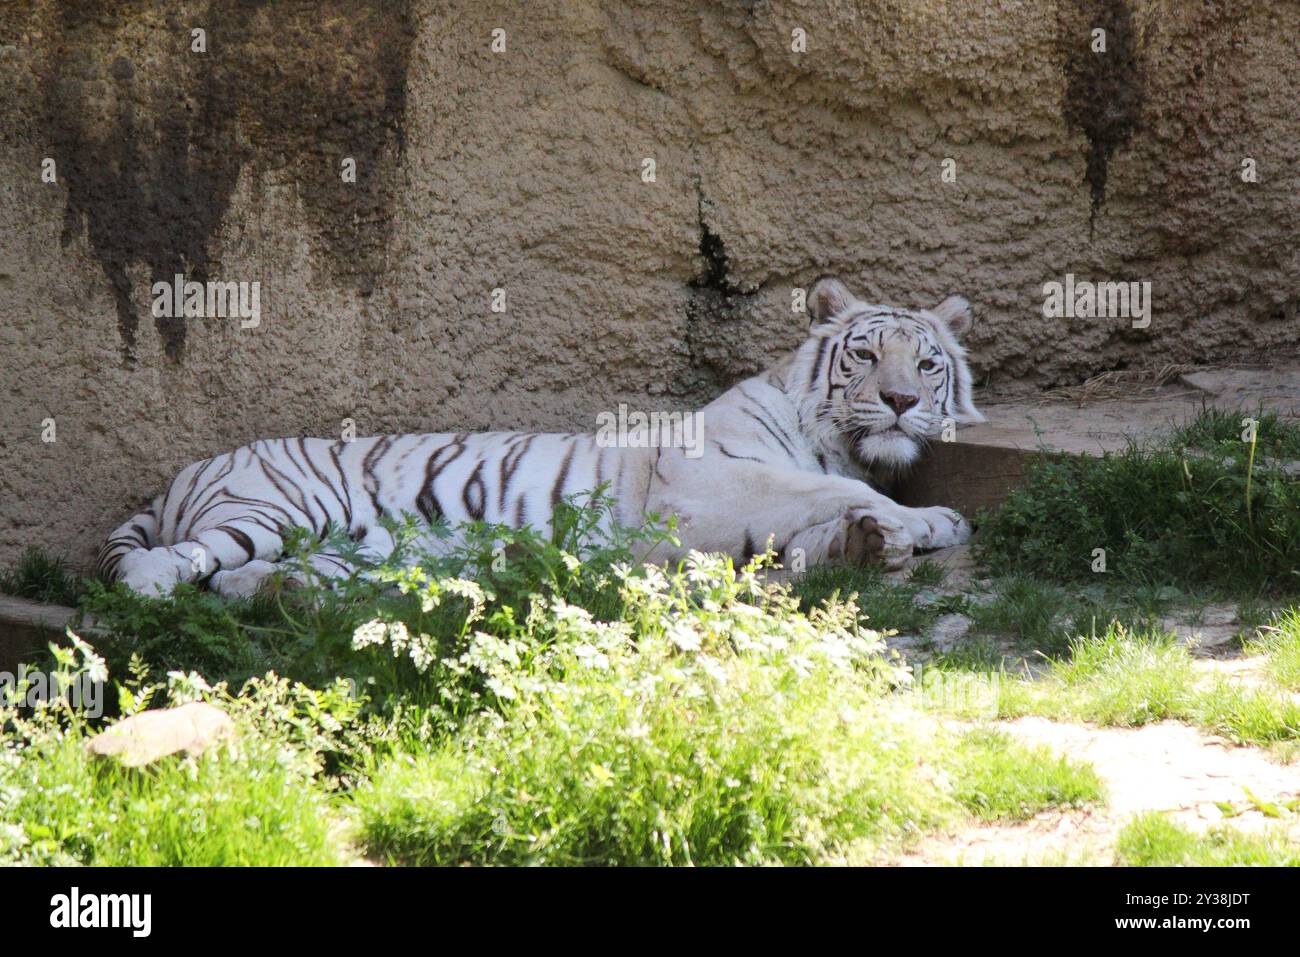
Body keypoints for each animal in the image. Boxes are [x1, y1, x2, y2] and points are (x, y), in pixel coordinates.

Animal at [98, 276, 985, 598]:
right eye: (866, 353)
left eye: (927, 362)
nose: (902, 399)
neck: (836, 436)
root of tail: (181, 475)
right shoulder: (708, 486)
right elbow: (830, 488)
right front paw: (926, 519)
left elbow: (823, 524)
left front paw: (889, 536)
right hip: (272, 508)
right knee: (189, 563)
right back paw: (152, 580)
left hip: (343, 548)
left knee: (248, 583)